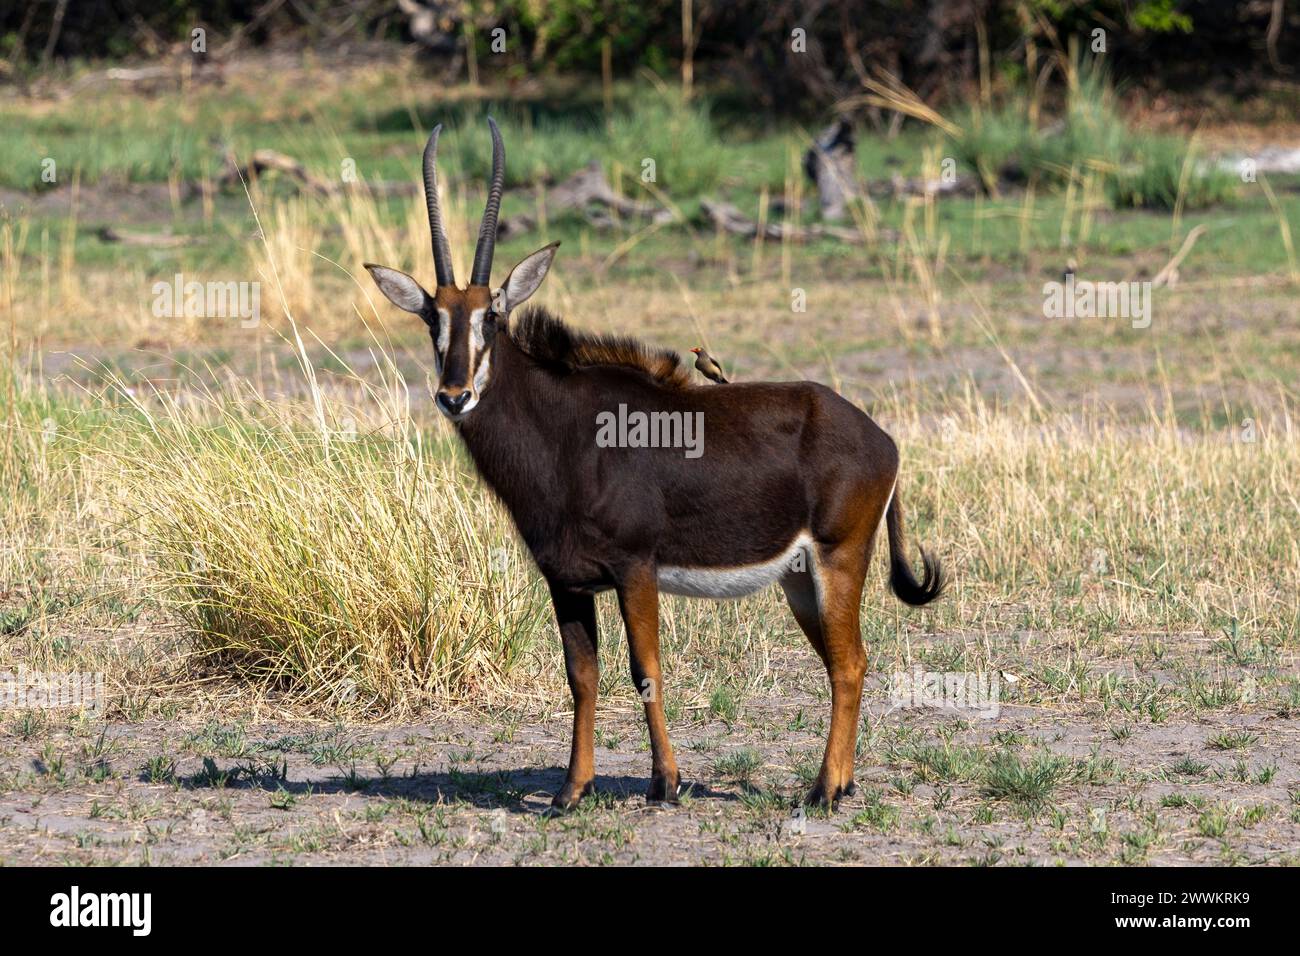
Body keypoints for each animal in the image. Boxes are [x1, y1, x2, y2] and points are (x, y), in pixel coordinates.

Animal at [364, 120, 945, 810]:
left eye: (493, 316)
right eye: (432, 318)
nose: (454, 396)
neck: (564, 432)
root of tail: (881, 438)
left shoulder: (634, 568)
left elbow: (646, 671)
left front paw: (664, 782)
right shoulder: (567, 580)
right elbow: (582, 677)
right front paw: (571, 791)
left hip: (840, 557)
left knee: (851, 662)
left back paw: (824, 790)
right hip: (801, 577)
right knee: (839, 662)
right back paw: (840, 782)